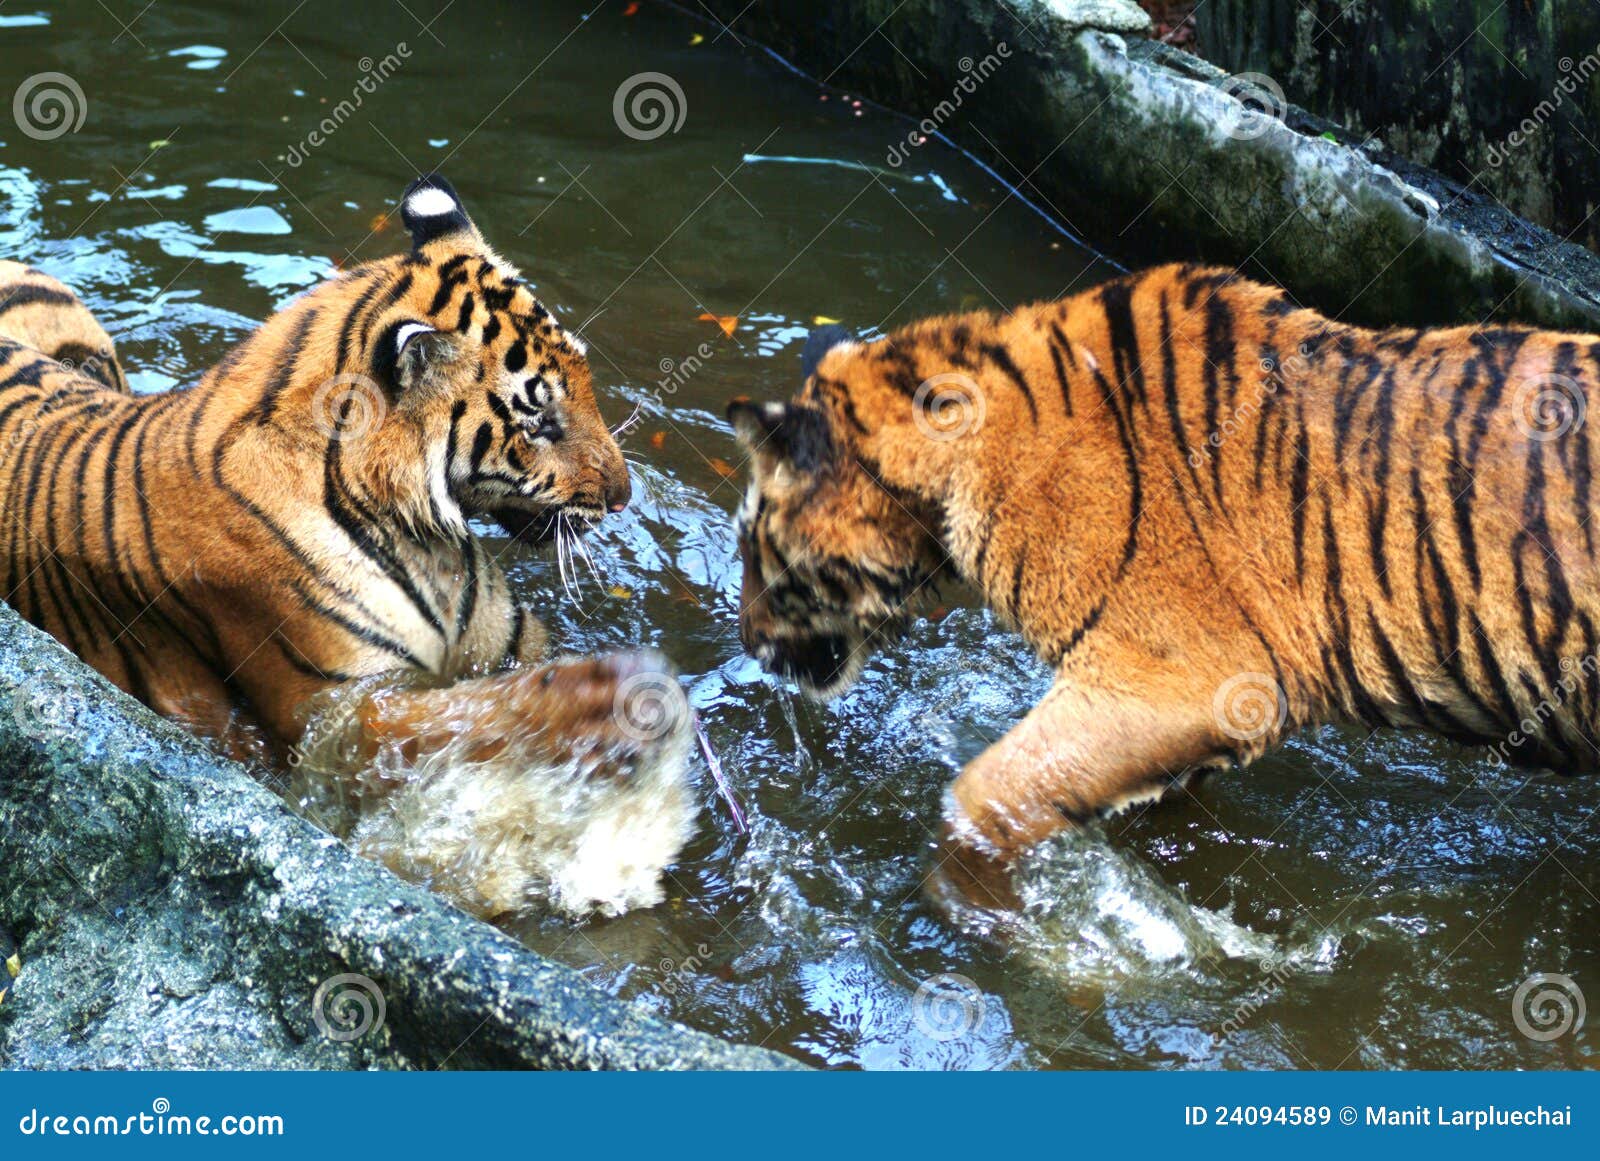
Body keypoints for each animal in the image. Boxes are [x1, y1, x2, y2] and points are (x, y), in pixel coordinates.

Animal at [0, 175, 696, 918]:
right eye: (537, 419)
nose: (624, 496)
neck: (421, 533)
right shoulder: (338, 713)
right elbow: (474, 711)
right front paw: (612, 695)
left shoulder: (506, 642)